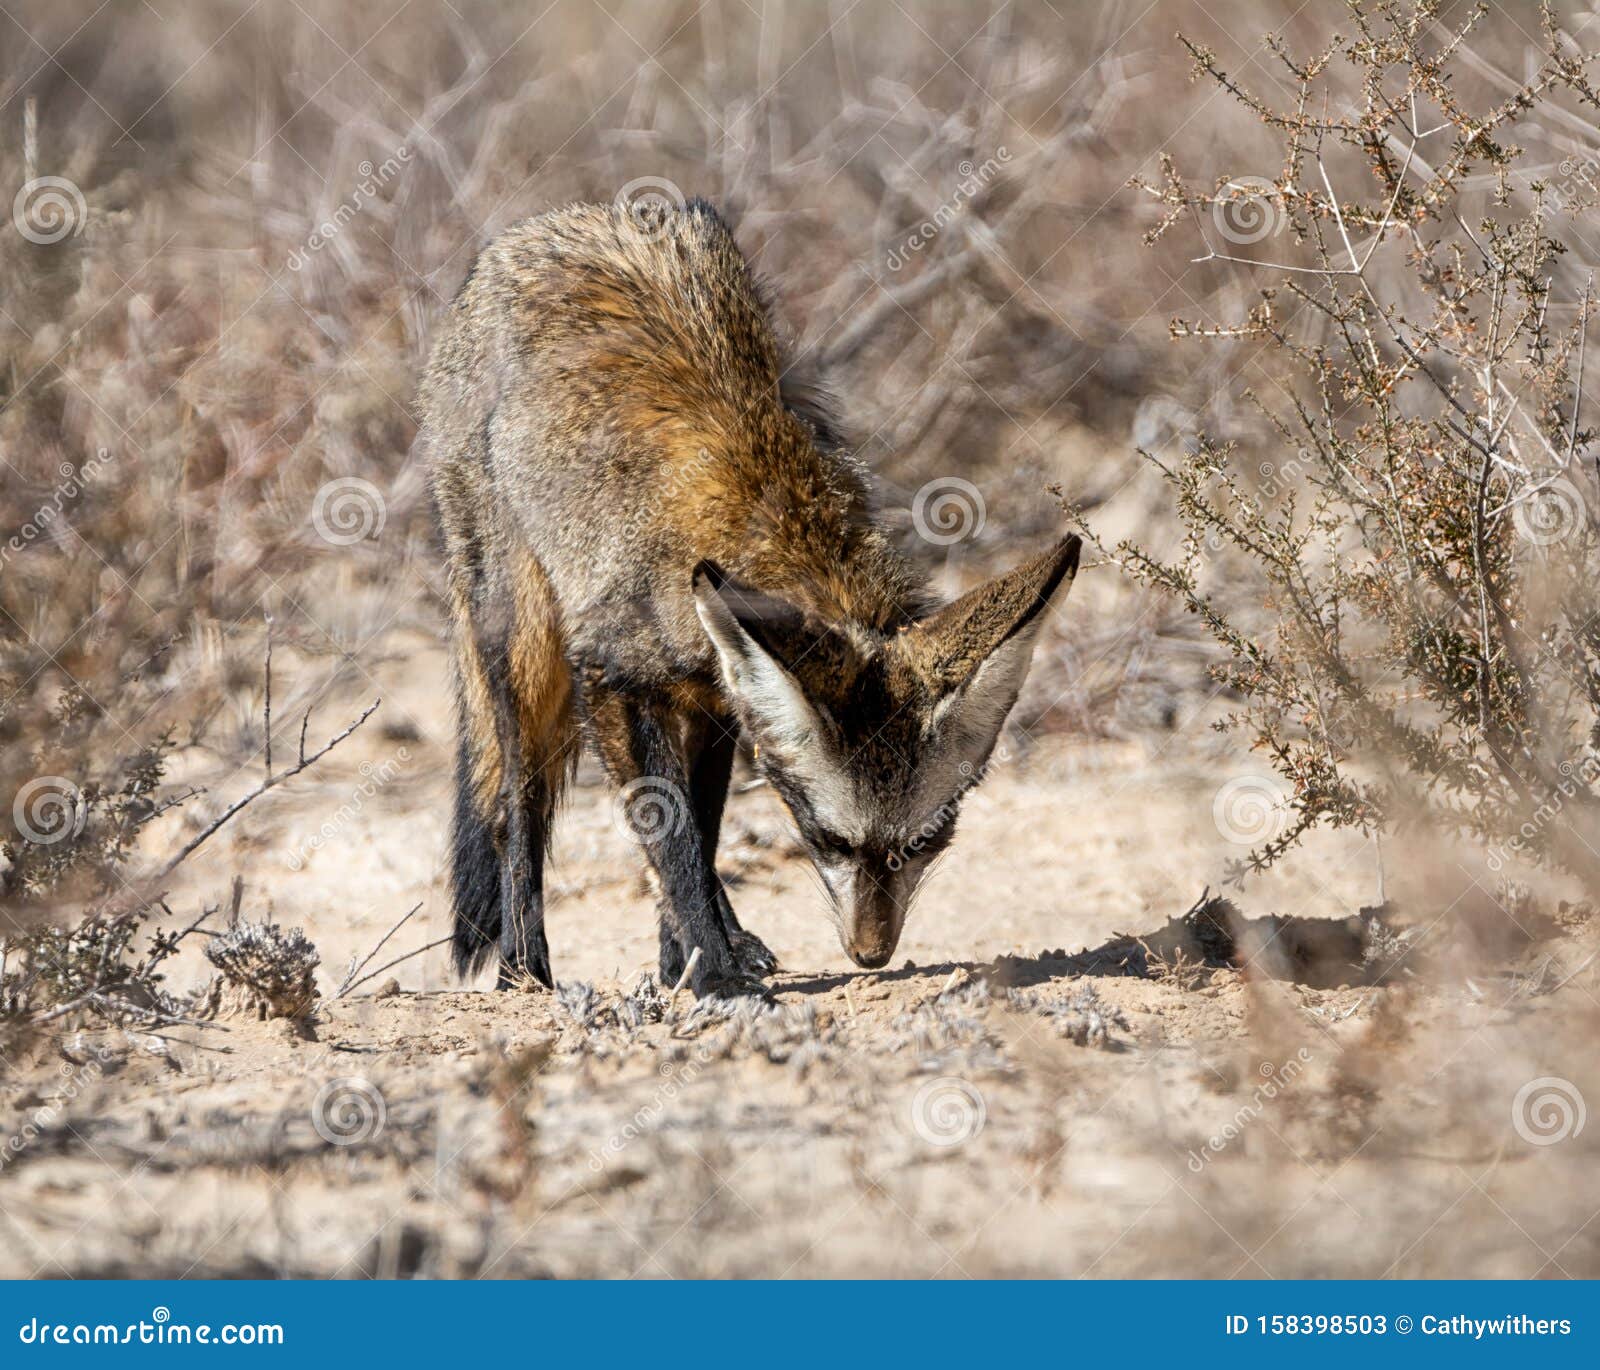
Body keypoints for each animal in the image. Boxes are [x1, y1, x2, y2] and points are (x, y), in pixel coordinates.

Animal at [419, 197, 1080, 998]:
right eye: (829, 839)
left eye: (924, 841)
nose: (870, 956)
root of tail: (556, 221)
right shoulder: (612, 679)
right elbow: (670, 841)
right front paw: (713, 975)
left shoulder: (716, 696)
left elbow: (700, 838)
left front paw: (688, 960)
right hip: (521, 644)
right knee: (518, 804)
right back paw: (525, 963)